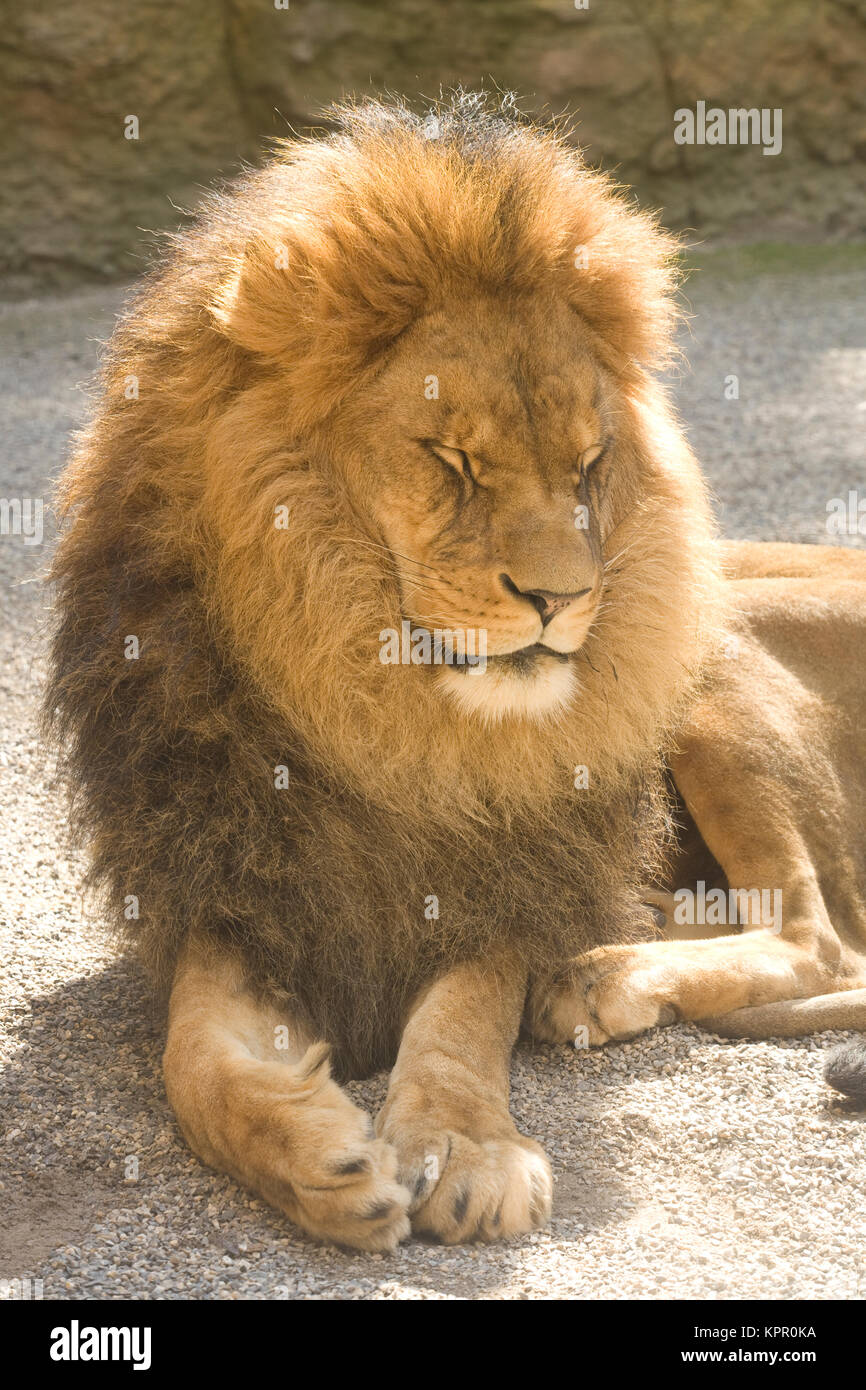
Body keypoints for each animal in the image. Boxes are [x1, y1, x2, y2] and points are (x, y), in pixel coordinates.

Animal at [45, 93, 866, 1252]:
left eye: (587, 466)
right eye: (453, 461)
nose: (563, 598)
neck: (380, 713)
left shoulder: (505, 875)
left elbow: (464, 1011)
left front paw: (462, 1149)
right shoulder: (240, 879)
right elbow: (192, 1059)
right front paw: (315, 1159)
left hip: (712, 667)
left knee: (821, 940)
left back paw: (604, 976)